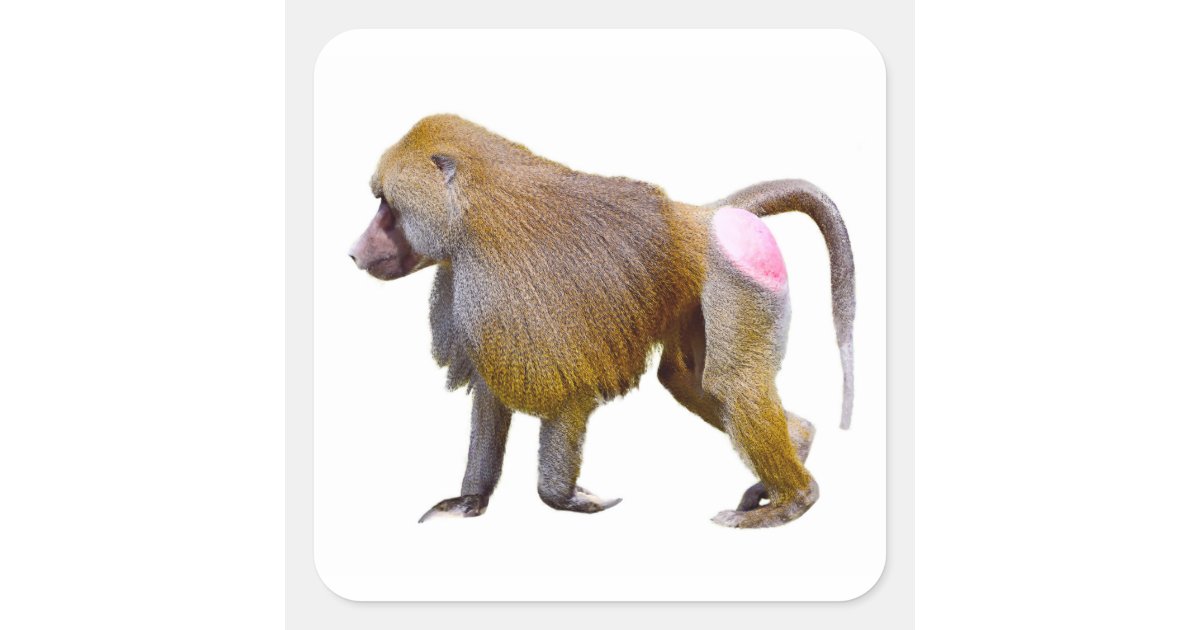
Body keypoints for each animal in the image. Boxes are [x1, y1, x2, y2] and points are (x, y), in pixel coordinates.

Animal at [347, 114, 855, 528]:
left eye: (386, 205)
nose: (354, 252)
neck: (471, 212)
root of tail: (701, 217)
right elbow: (490, 395)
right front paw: (469, 501)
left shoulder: (497, 290)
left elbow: (567, 391)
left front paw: (569, 497)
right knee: (692, 381)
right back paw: (799, 446)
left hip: (735, 280)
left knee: (730, 382)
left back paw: (792, 501)